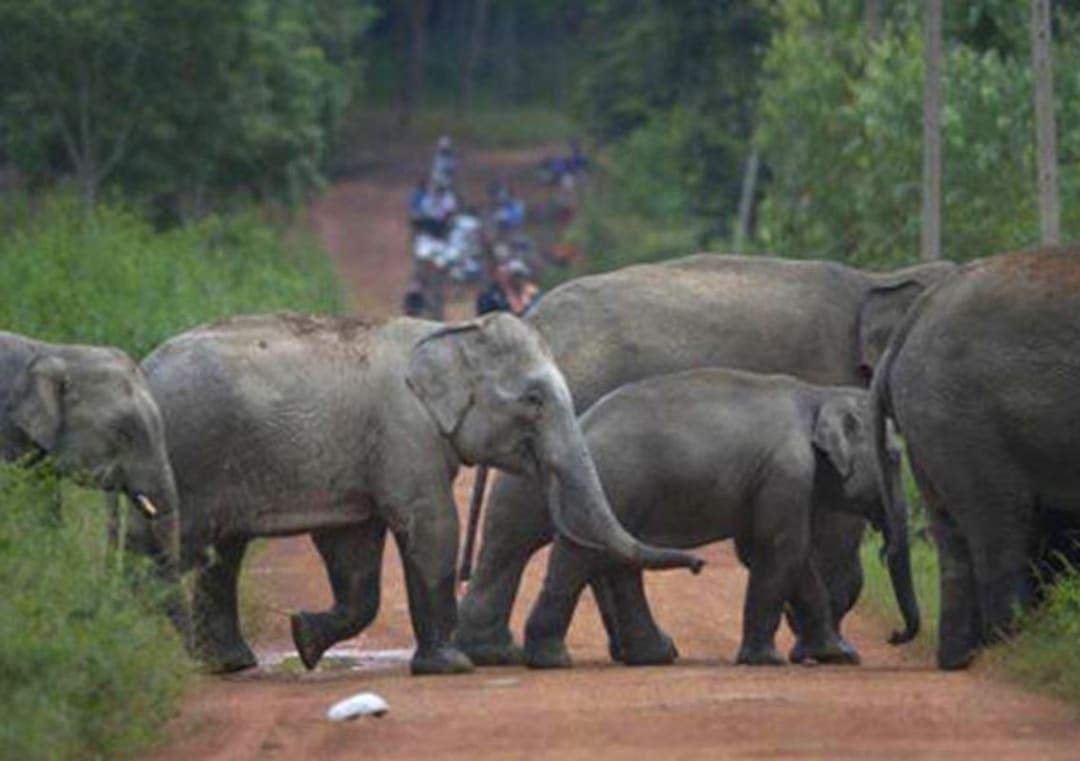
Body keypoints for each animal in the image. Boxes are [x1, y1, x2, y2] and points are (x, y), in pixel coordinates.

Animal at [133, 312, 702, 674]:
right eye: (534, 400)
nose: (698, 565)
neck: (448, 334)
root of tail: (144, 369)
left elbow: (355, 551)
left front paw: (304, 637)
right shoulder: (403, 431)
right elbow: (431, 526)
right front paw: (451, 666)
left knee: (219, 554)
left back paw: (228, 662)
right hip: (189, 455)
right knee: (171, 551)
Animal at [523, 369, 919, 668]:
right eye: (894, 458)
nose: (894, 636)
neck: (818, 394)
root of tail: (581, 425)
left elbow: (783, 553)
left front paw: (836, 655)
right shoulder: (786, 471)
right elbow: (780, 548)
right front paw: (767, 660)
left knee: (611, 559)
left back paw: (650, 656)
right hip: (617, 481)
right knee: (586, 557)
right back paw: (554, 661)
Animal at [872, 245, 1080, 670]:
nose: (893, 635)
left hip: (937, 425)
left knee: (953, 537)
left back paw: (961, 657)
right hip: (969, 423)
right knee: (999, 530)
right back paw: (1010, 649)